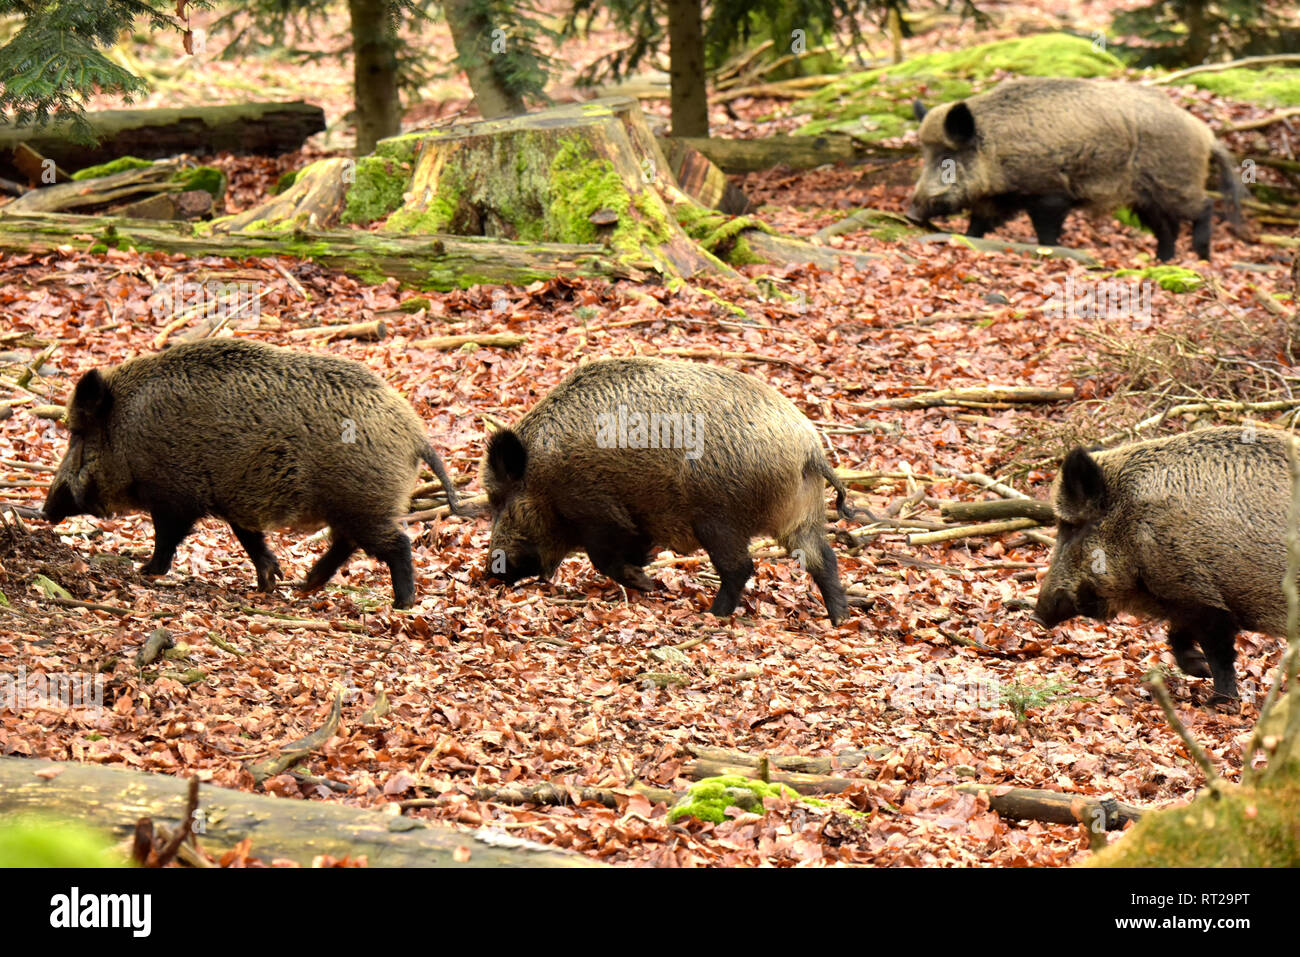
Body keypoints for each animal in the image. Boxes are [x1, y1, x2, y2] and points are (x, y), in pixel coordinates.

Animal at [42, 338, 470, 608]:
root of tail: (416, 434)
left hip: (363, 503)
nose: (46, 511)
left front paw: (147, 571)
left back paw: (402, 604)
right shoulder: (232, 501)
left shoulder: (174, 496)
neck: (128, 430)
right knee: (346, 544)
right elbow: (251, 540)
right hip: (354, 507)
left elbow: (168, 537)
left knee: (396, 543)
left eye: (78, 435)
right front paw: (269, 582)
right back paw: (305, 586)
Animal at [480, 357, 864, 624]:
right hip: (801, 517)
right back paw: (840, 619)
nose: (490, 570)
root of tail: (810, 449)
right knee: (823, 559)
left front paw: (645, 584)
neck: (543, 474)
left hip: (718, 519)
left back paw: (712, 614)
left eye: (499, 500)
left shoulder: (598, 510)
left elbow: (604, 558)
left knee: (741, 567)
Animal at [908, 77, 1243, 261]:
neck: (995, 147)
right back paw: (1163, 261)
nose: (910, 214)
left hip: (1174, 183)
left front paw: (1052, 250)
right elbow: (979, 222)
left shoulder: (1050, 193)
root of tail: (1205, 132)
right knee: (1167, 228)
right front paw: (968, 238)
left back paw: (1201, 257)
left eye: (947, 158)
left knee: (1204, 207)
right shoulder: (999, 197)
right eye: (925, 155)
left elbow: (1046, 231)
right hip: (1146, 198)